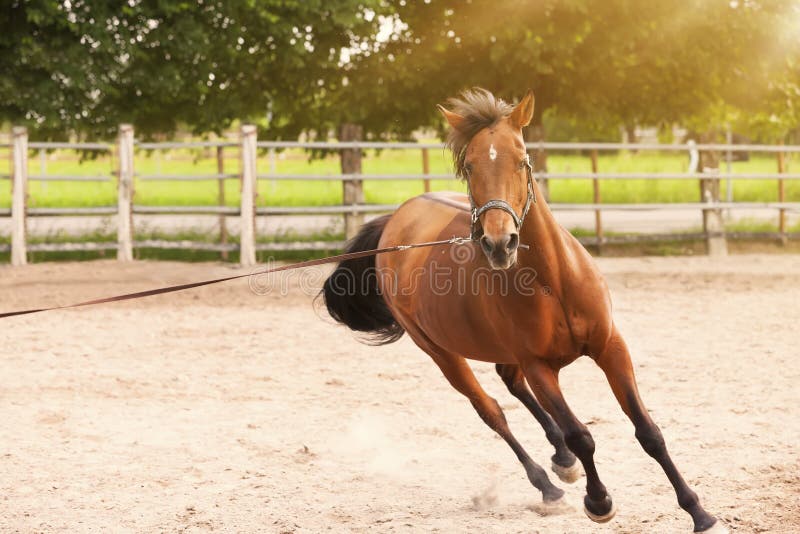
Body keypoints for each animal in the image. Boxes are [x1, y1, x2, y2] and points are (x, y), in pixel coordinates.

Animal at [321, 88, 725, 533]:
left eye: (521, 159)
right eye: (469, 166)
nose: (501, 244)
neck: (554, 281)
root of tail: (396, 223)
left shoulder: (610, 347)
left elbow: (648, 431)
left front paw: (699, 512)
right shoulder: (539, 366)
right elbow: (579, 434)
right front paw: (599, 502)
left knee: (511, 384)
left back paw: (562, 462)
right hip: (442, 354)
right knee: (493, 411)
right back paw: (547, 485)